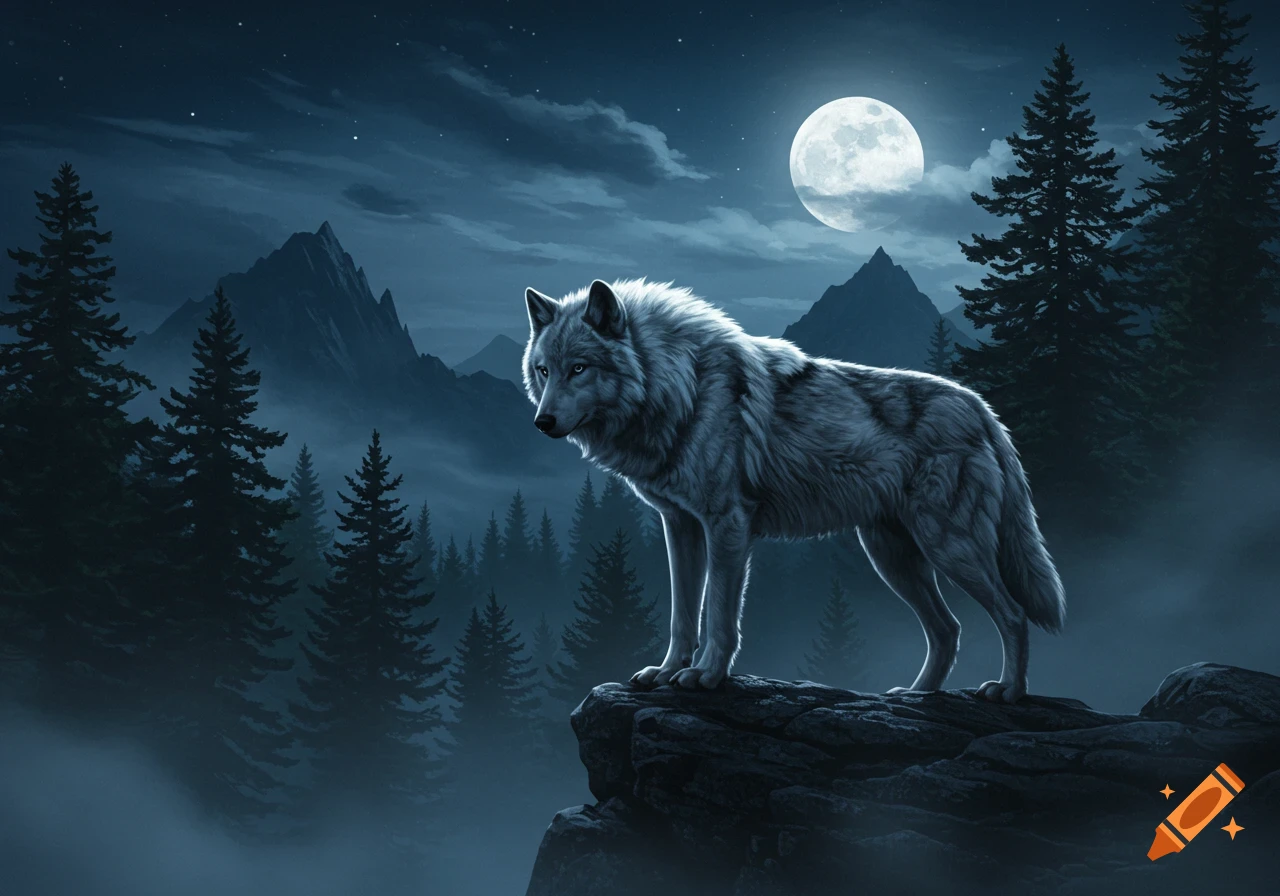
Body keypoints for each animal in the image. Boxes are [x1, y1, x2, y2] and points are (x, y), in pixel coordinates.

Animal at [522, 278, 1065, 703]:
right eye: (544, 370)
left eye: (579, 368)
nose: (541, 423)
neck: (681, 387)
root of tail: (982, 408)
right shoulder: (680, 527)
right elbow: (682, 614)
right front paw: (668, 671)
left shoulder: (728, 525)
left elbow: (718, 614)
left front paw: (706, 676)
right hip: (892, 557)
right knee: (947, 629)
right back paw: (915, 694)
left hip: (947, 546)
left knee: (1013, 615)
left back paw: (1008, 691)